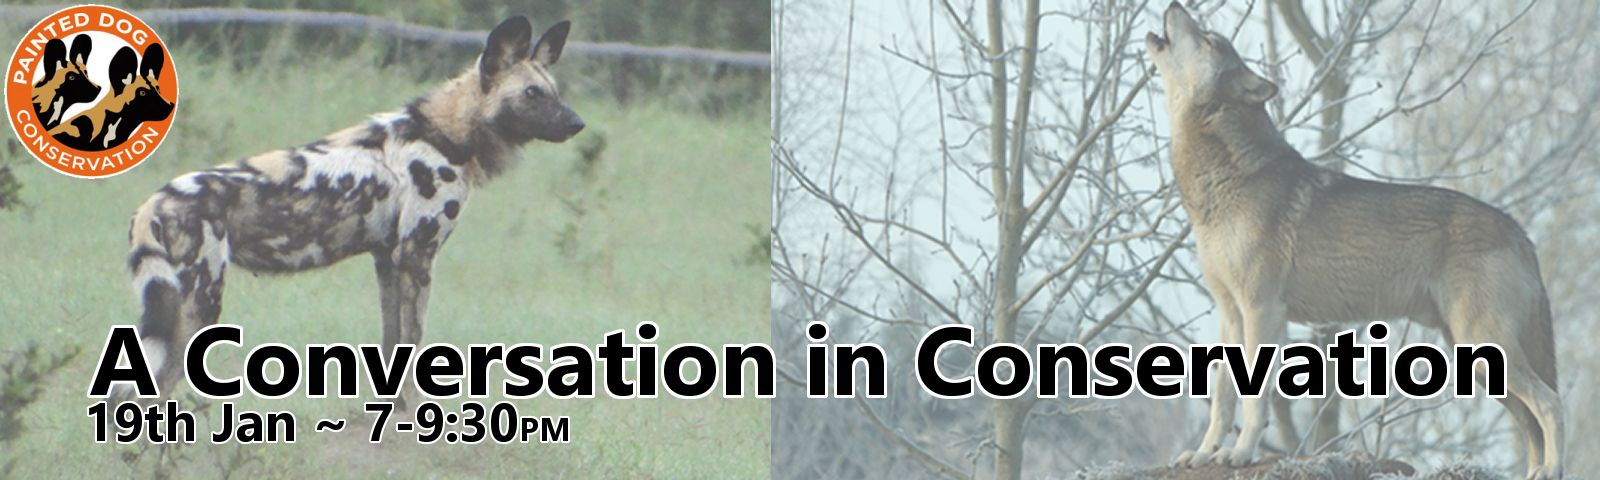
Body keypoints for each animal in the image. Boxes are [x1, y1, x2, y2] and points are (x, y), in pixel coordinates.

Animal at [114, 17, 583, 407]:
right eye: (532, 94)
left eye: (556, 92)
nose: (577, 124)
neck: (443, 134)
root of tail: (154, 201)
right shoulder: (417, 257)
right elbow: (416, 344)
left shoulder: (389, 260)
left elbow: (394, 345)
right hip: (199, 304)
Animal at [1145, 3, 1562, 478]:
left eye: (1210, 40)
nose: (1176, 7)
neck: (1225, 182)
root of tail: (1521, 232)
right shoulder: (1231, 315)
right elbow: (1221, 399)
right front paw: (1204, 454)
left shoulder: (1262, 311)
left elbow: (1253, 400)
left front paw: (1241, 453)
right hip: (1479, 362)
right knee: (1531, 421)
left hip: (1485, 347)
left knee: (1551, 404)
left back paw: (1551, 469)